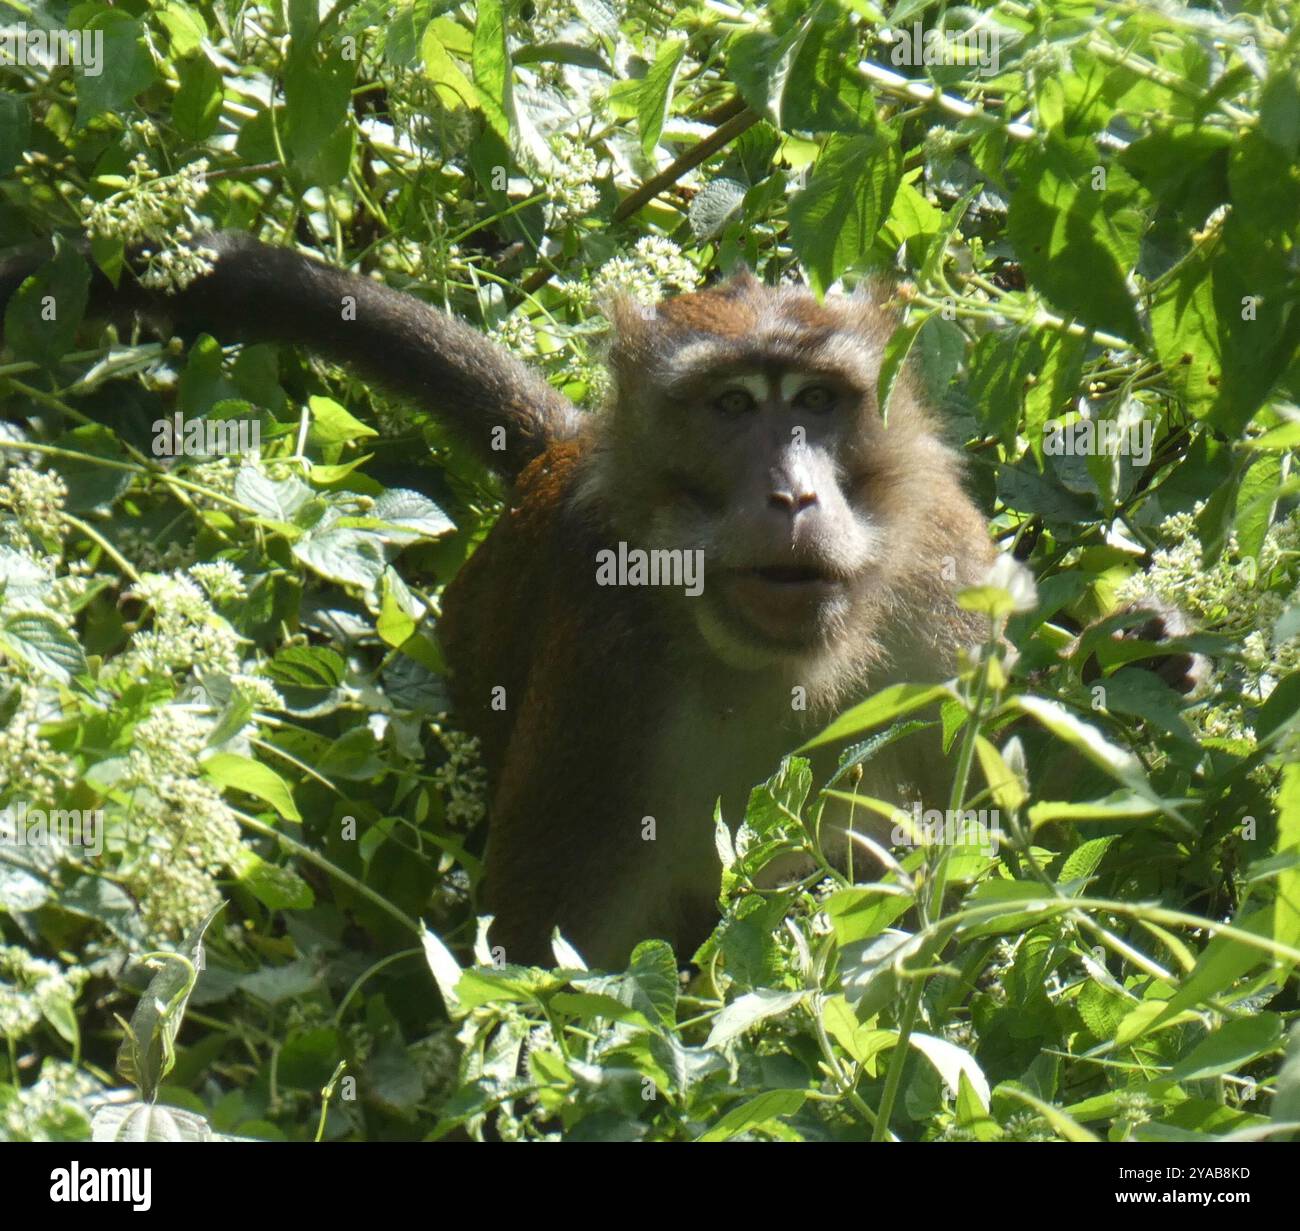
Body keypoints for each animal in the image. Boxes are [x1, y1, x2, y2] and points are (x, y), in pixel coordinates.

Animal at [0, 233, 1199, 969]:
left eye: (818, 401)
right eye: (732, 405)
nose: (794, 493)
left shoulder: (945, 590)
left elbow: (1033, 825)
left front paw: (1143, 650)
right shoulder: (605, 661)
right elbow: (543, 960)